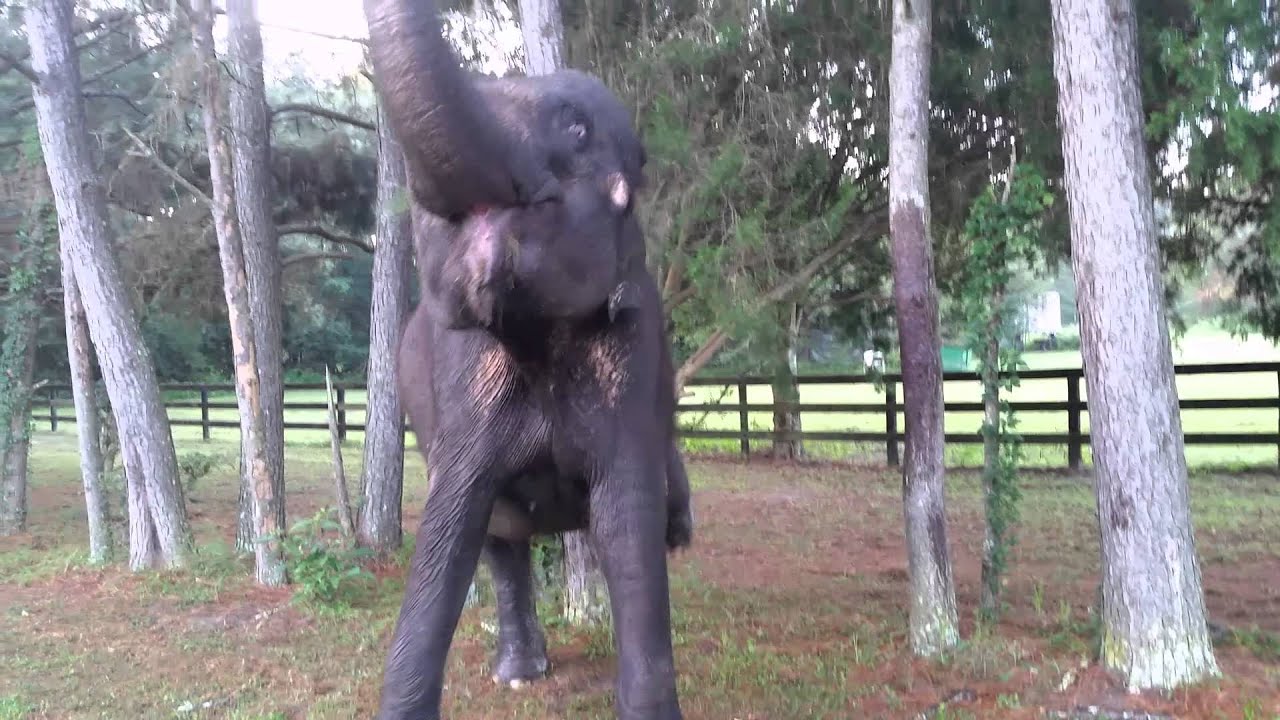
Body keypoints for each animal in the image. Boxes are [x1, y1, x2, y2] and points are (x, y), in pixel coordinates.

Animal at [361, 1, 694, 718]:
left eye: (575, 127)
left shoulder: (633, 353)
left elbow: (628, 523)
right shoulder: (462, 388)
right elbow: (448, 527)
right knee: (503, 544)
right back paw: (519, 674)